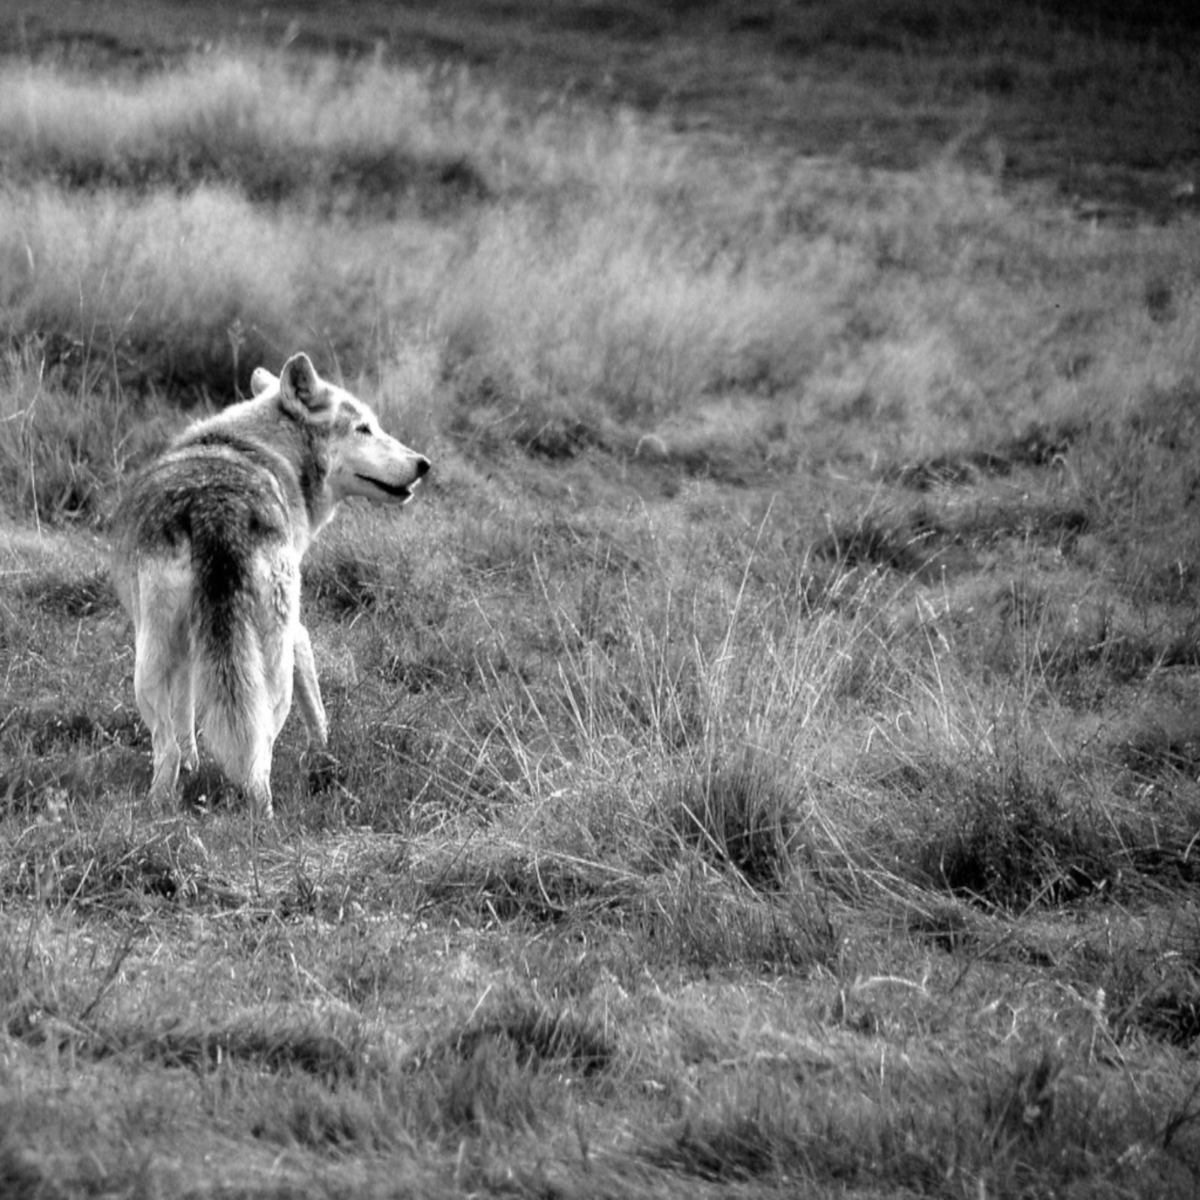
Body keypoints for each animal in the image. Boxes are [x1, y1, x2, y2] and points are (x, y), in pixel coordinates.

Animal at [111, 352, 430, 819]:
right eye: (364, 428)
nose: (424, 463)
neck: (262, 449)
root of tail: (216, 507)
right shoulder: (298, 631)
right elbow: (318, 710)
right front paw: (326, 755)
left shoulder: (186, 651)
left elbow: (186, 723)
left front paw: (192, 767)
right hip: (271, 673)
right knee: (259, 751)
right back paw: (263, 821)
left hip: (149, 662)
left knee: (167, 749)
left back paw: (159, 808)